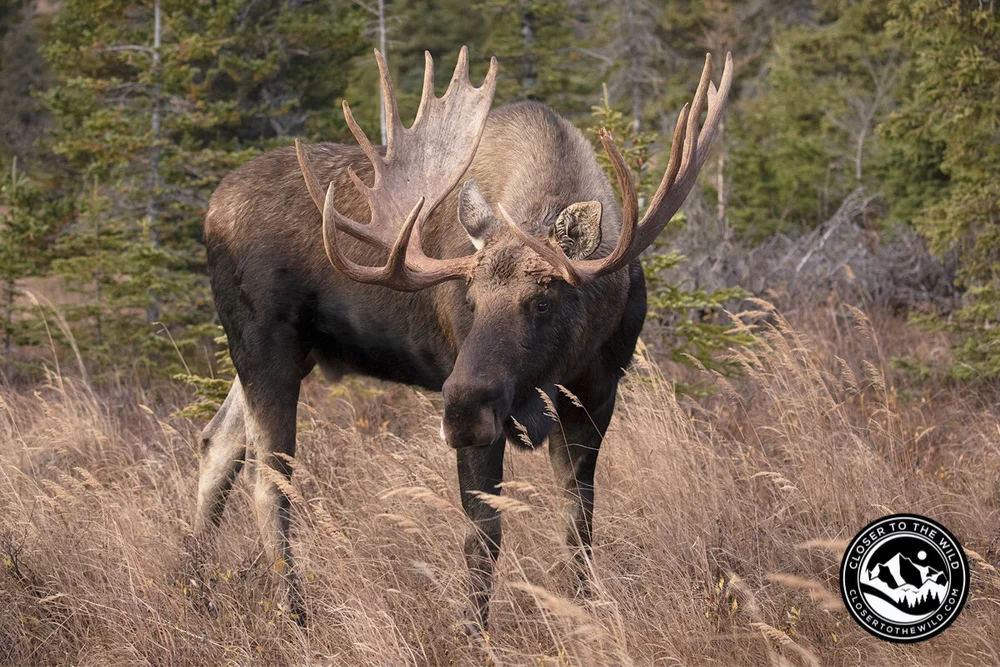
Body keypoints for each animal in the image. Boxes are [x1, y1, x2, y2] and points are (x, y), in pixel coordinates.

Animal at [193, 45, 732, 632]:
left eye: (542, 301)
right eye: (468, 299)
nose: (462, 410)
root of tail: (210, 212)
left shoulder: (595, 395)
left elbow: (579, 525)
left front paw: (585, 612)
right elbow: (483, 536)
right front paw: (473, 632)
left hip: (287, 355)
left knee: (218, 444)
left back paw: (193, 583)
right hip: (264, 346)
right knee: (268, 483)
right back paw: (295, 617)